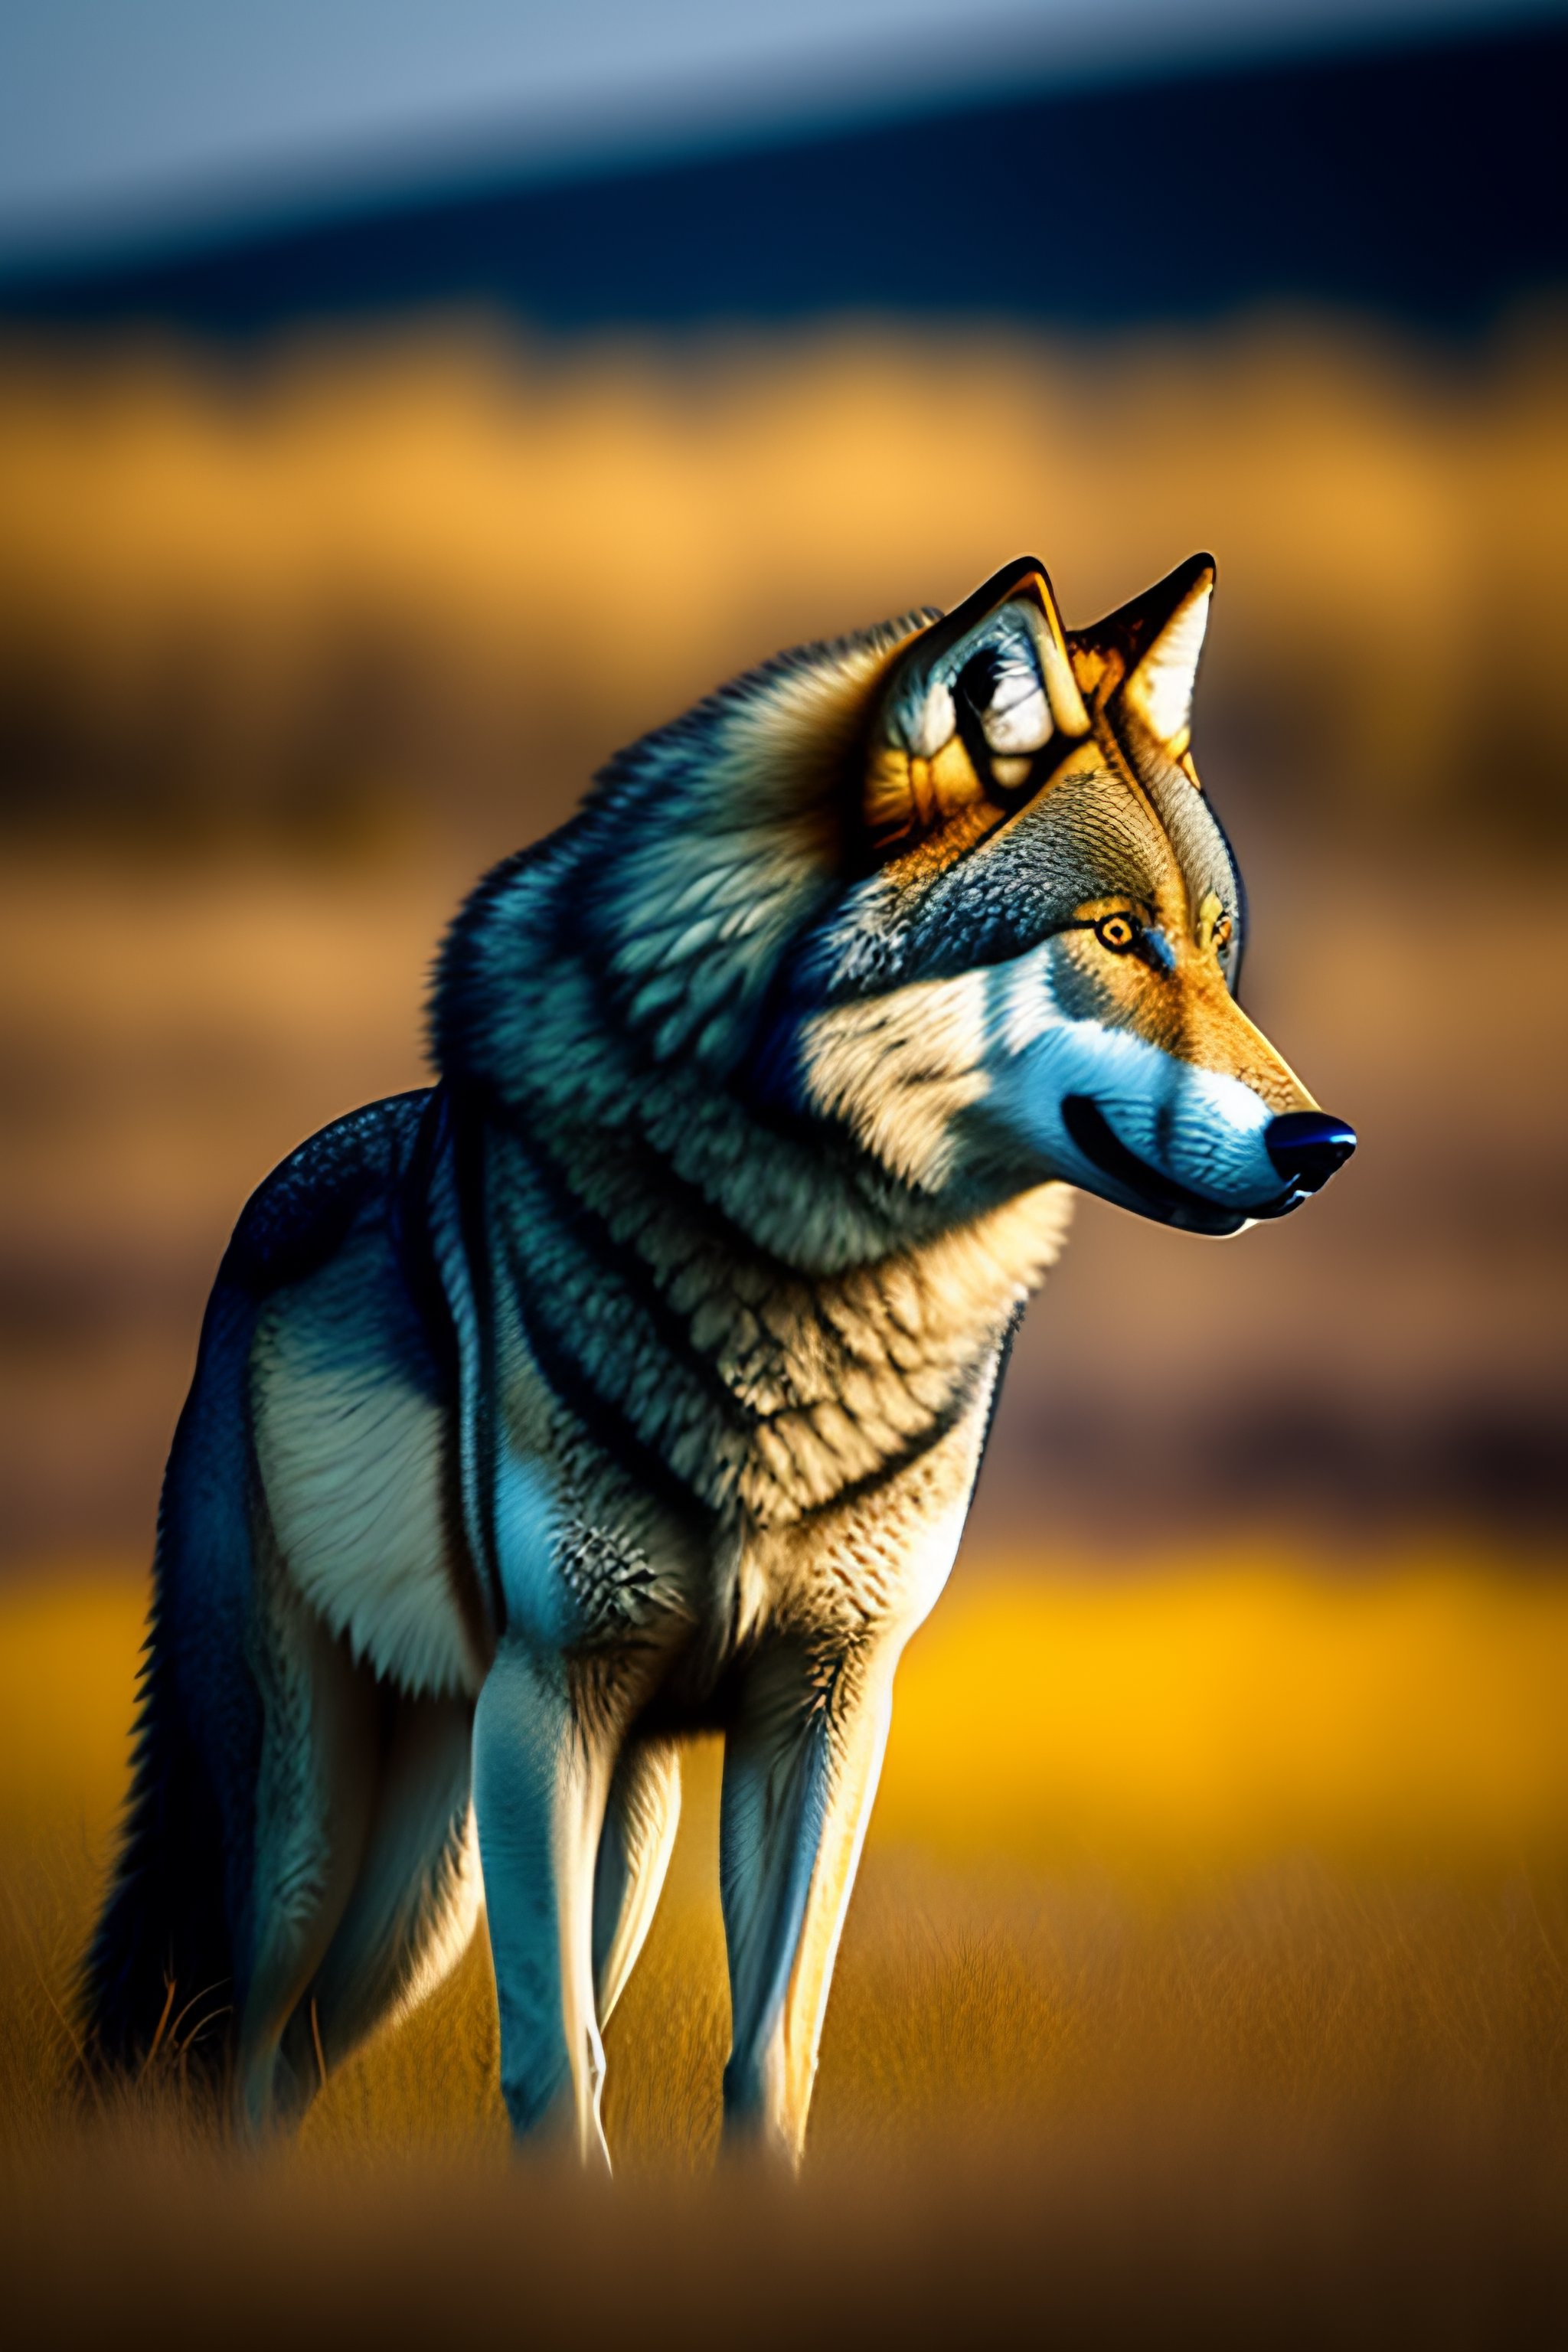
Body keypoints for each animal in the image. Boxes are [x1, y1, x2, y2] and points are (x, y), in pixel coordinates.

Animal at [84, 553, 1354, 2165]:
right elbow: (553, 2070)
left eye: (1217, 947)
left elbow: (763, 2060)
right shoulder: (551, 1693)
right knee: (234, 2059)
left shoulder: (826, 1702)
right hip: (331, 1845)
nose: (1321, 1145)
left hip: (529, 1851)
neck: (815, 1284)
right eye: (1116, 935)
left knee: (311, 2063)